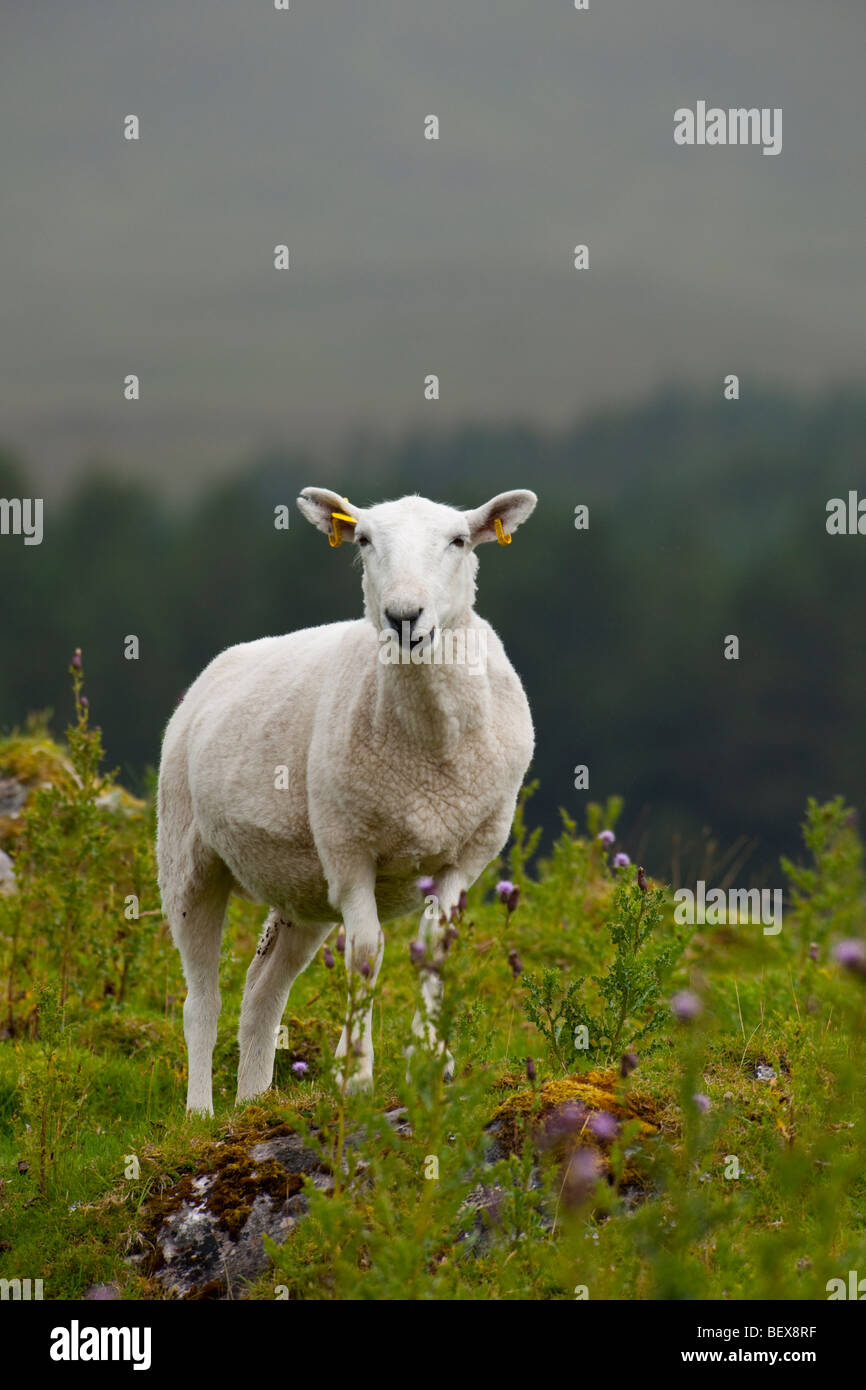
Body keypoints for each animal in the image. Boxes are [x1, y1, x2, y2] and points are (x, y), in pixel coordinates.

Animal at [157, 486, 537, 1113]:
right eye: (363, 539)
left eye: (459, 540)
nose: (404, 617)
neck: (429, 751)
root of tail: (220, 664)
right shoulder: (350, 851)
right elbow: (365, 952)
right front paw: (355, 1074)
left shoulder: (466, 855)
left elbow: (435, 948)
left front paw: (431, 1061)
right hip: (188, 858)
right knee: (200, 999)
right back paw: (200, 1112)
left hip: (302, 889)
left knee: (262, 989)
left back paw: (253, 1102)